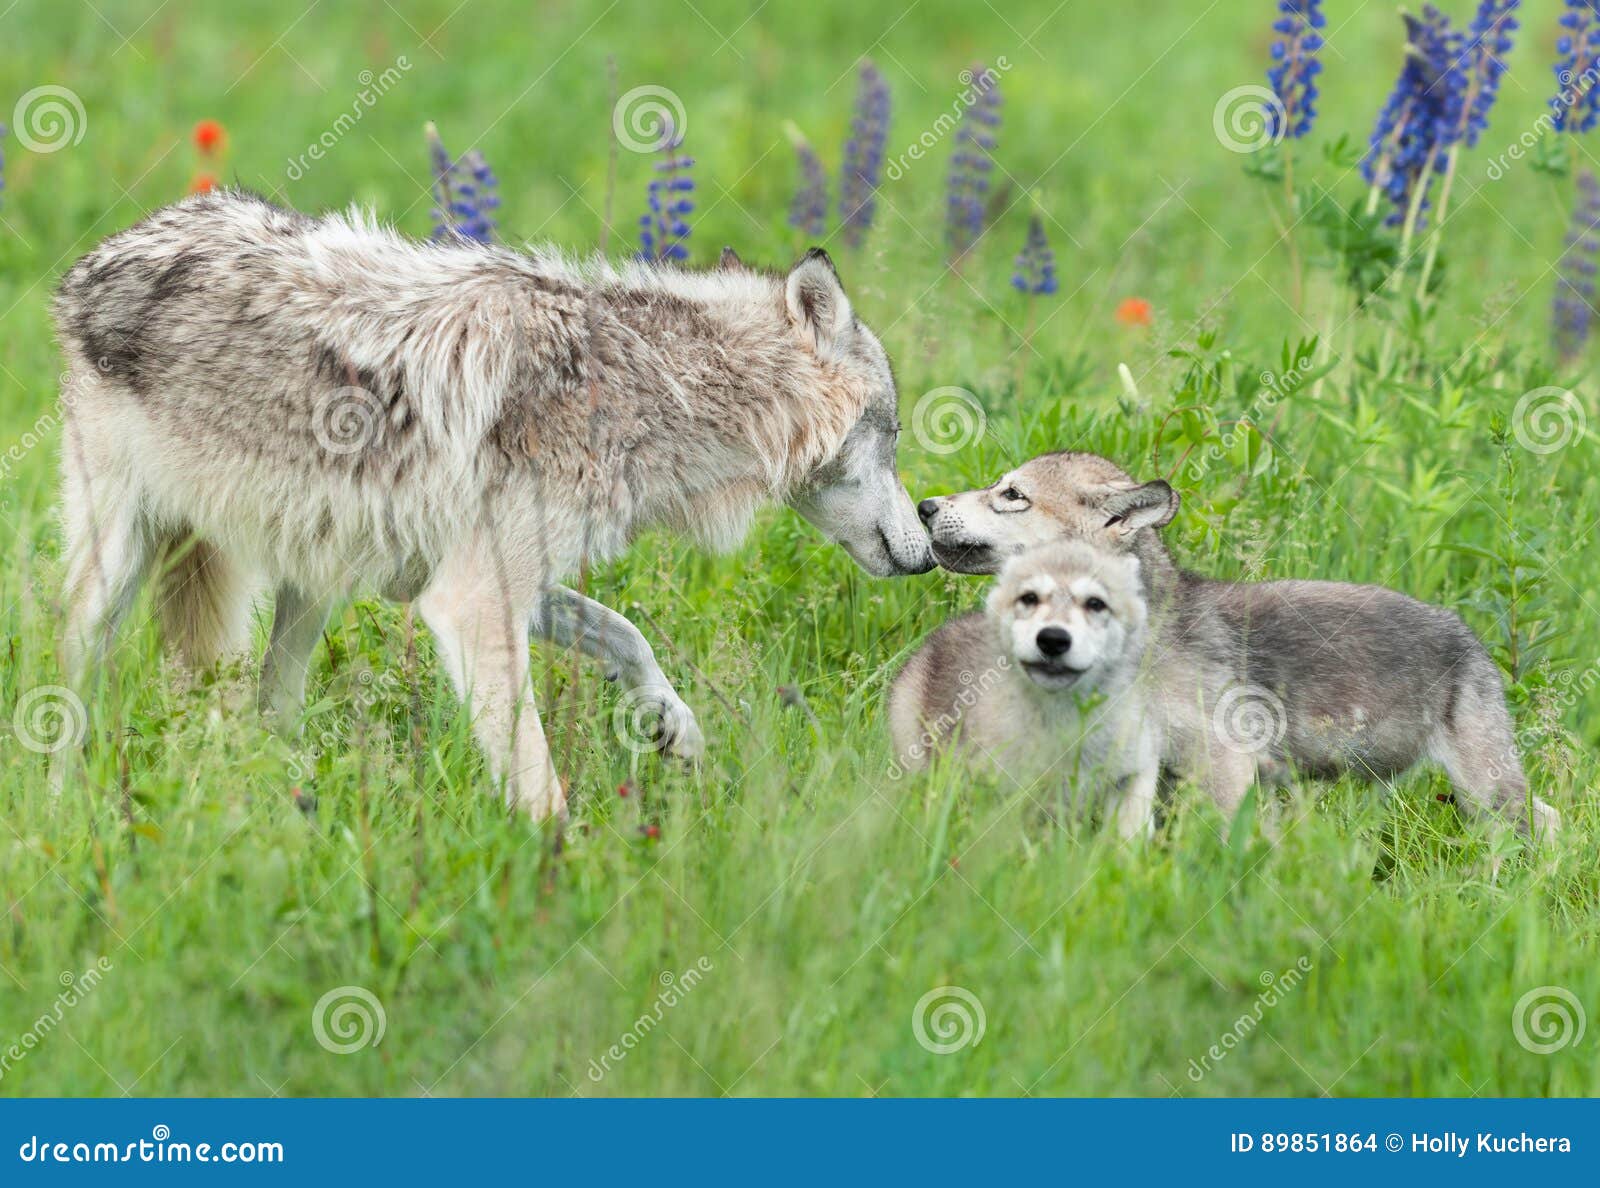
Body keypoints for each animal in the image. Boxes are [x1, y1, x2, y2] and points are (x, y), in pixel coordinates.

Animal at [53, 189, 933, 819]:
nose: (928, 552)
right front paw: (562, 877)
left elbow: (627, 633)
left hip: (312, 585)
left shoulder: (485, 586)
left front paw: (669, 723)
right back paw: (63, 814)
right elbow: (539, 780)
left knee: (269, 712)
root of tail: (111, 248)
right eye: (892, 434)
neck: (649, 391)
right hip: (115, 575)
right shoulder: (470, 602)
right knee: (66, 697)